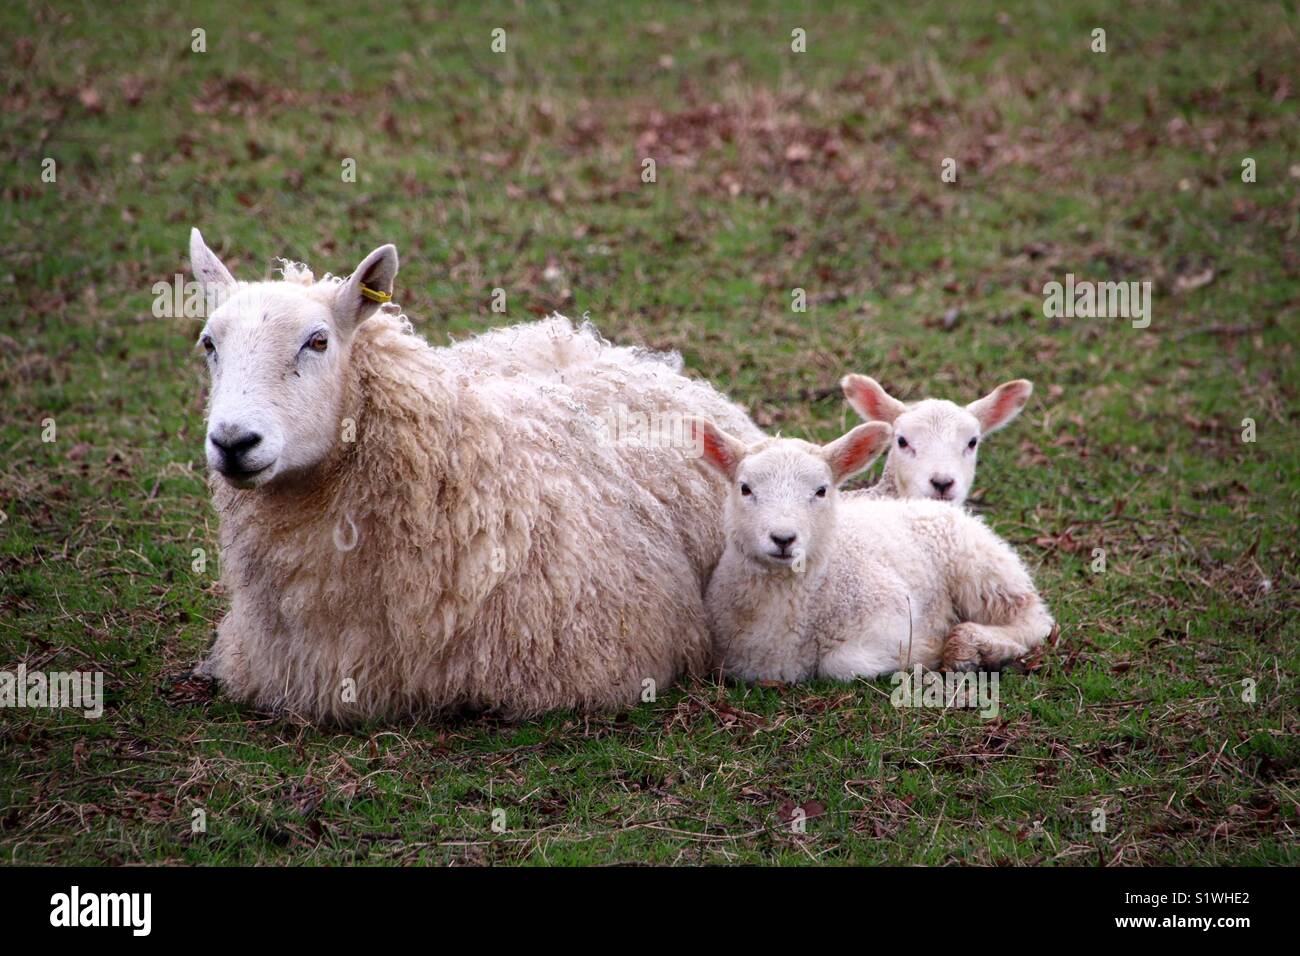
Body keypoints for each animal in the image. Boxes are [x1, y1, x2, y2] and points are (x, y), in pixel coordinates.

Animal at [689, 417, 1054, 682]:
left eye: (821, 490)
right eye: (745, 488)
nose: (783, 538)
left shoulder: (891, 611)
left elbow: (842, 663)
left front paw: (925, 650)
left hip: (983, 570)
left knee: (1034, 619)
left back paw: (973, 645)